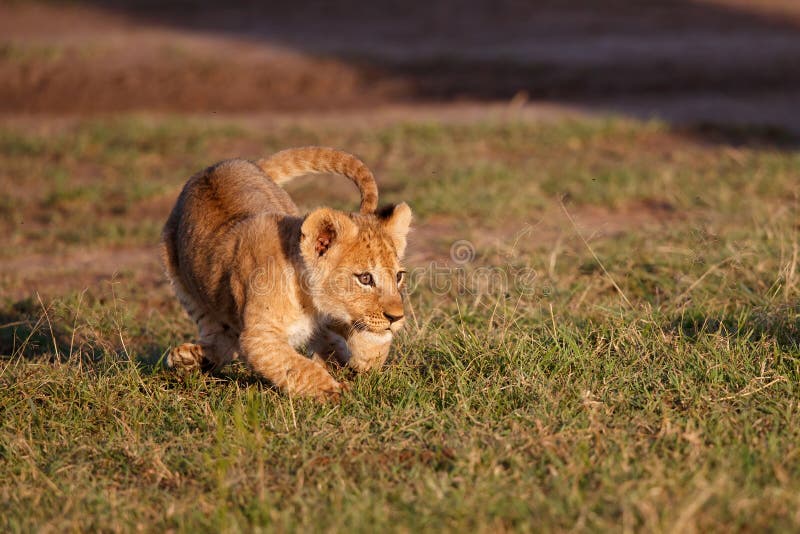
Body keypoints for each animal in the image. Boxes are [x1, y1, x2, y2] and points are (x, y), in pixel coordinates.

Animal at [161, 147, 412, 400]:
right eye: (365, 278)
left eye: (398, 276)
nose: (396, 317)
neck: (311, 302)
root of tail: (217, 166)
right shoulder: (259, 337)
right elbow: (297, 368)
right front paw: (335, 392)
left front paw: (364, 362)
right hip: (182, 283)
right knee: (220, 334)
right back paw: (190, 358)